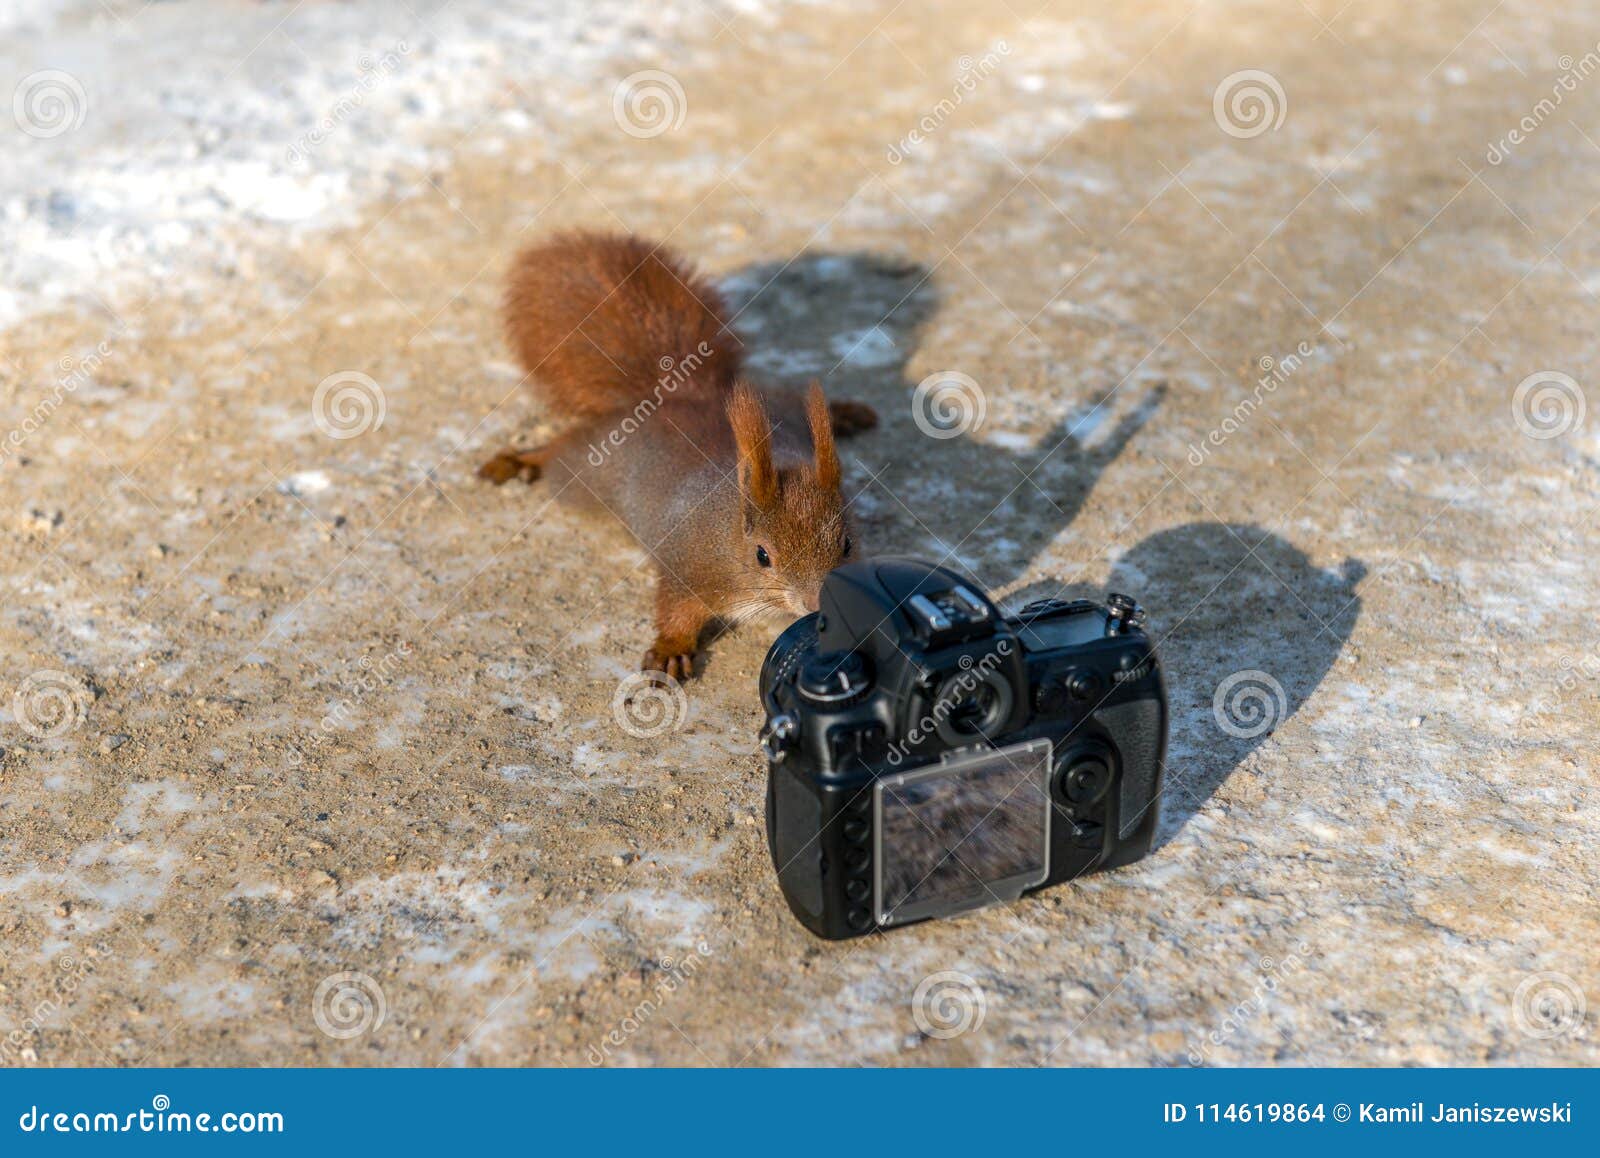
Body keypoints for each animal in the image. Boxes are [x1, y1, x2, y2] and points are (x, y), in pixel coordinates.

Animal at [479, 231, 879, 681]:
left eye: (848, 544)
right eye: (763, 555)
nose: (815, 604)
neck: (728, 533)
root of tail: (678, 397)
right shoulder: (688, 567)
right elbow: (675, 609)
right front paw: (670, 649)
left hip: (783, 407)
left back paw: (846, 413)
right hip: (585, 472)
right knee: (560, 453)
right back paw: (520, 460)